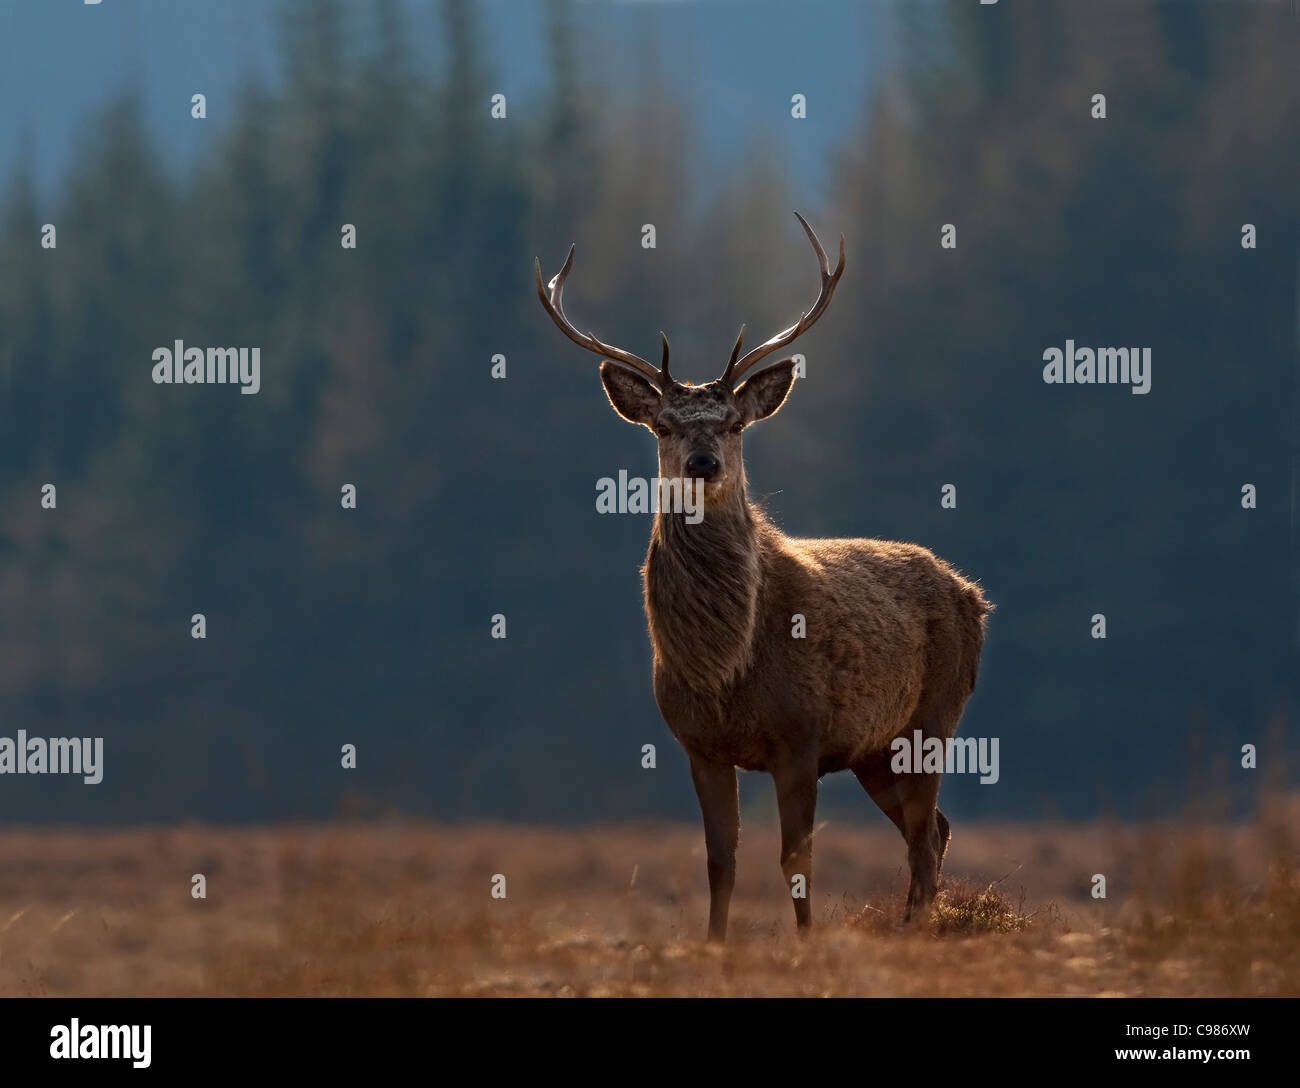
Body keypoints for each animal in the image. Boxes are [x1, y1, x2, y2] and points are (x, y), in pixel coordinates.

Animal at [535, 213, 991, 941]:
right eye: (664, 425)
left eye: (732, 423)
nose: (702, 463)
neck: (726, 665)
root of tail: (974, 596)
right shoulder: (698, 745)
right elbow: (721, 861)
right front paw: (715, 945)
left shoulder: (800, 737)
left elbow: (795, 857)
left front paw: (806, 943)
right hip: (875, 749)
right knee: (937, 830)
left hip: (934, 718)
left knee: (925, 835)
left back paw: (915, 931)